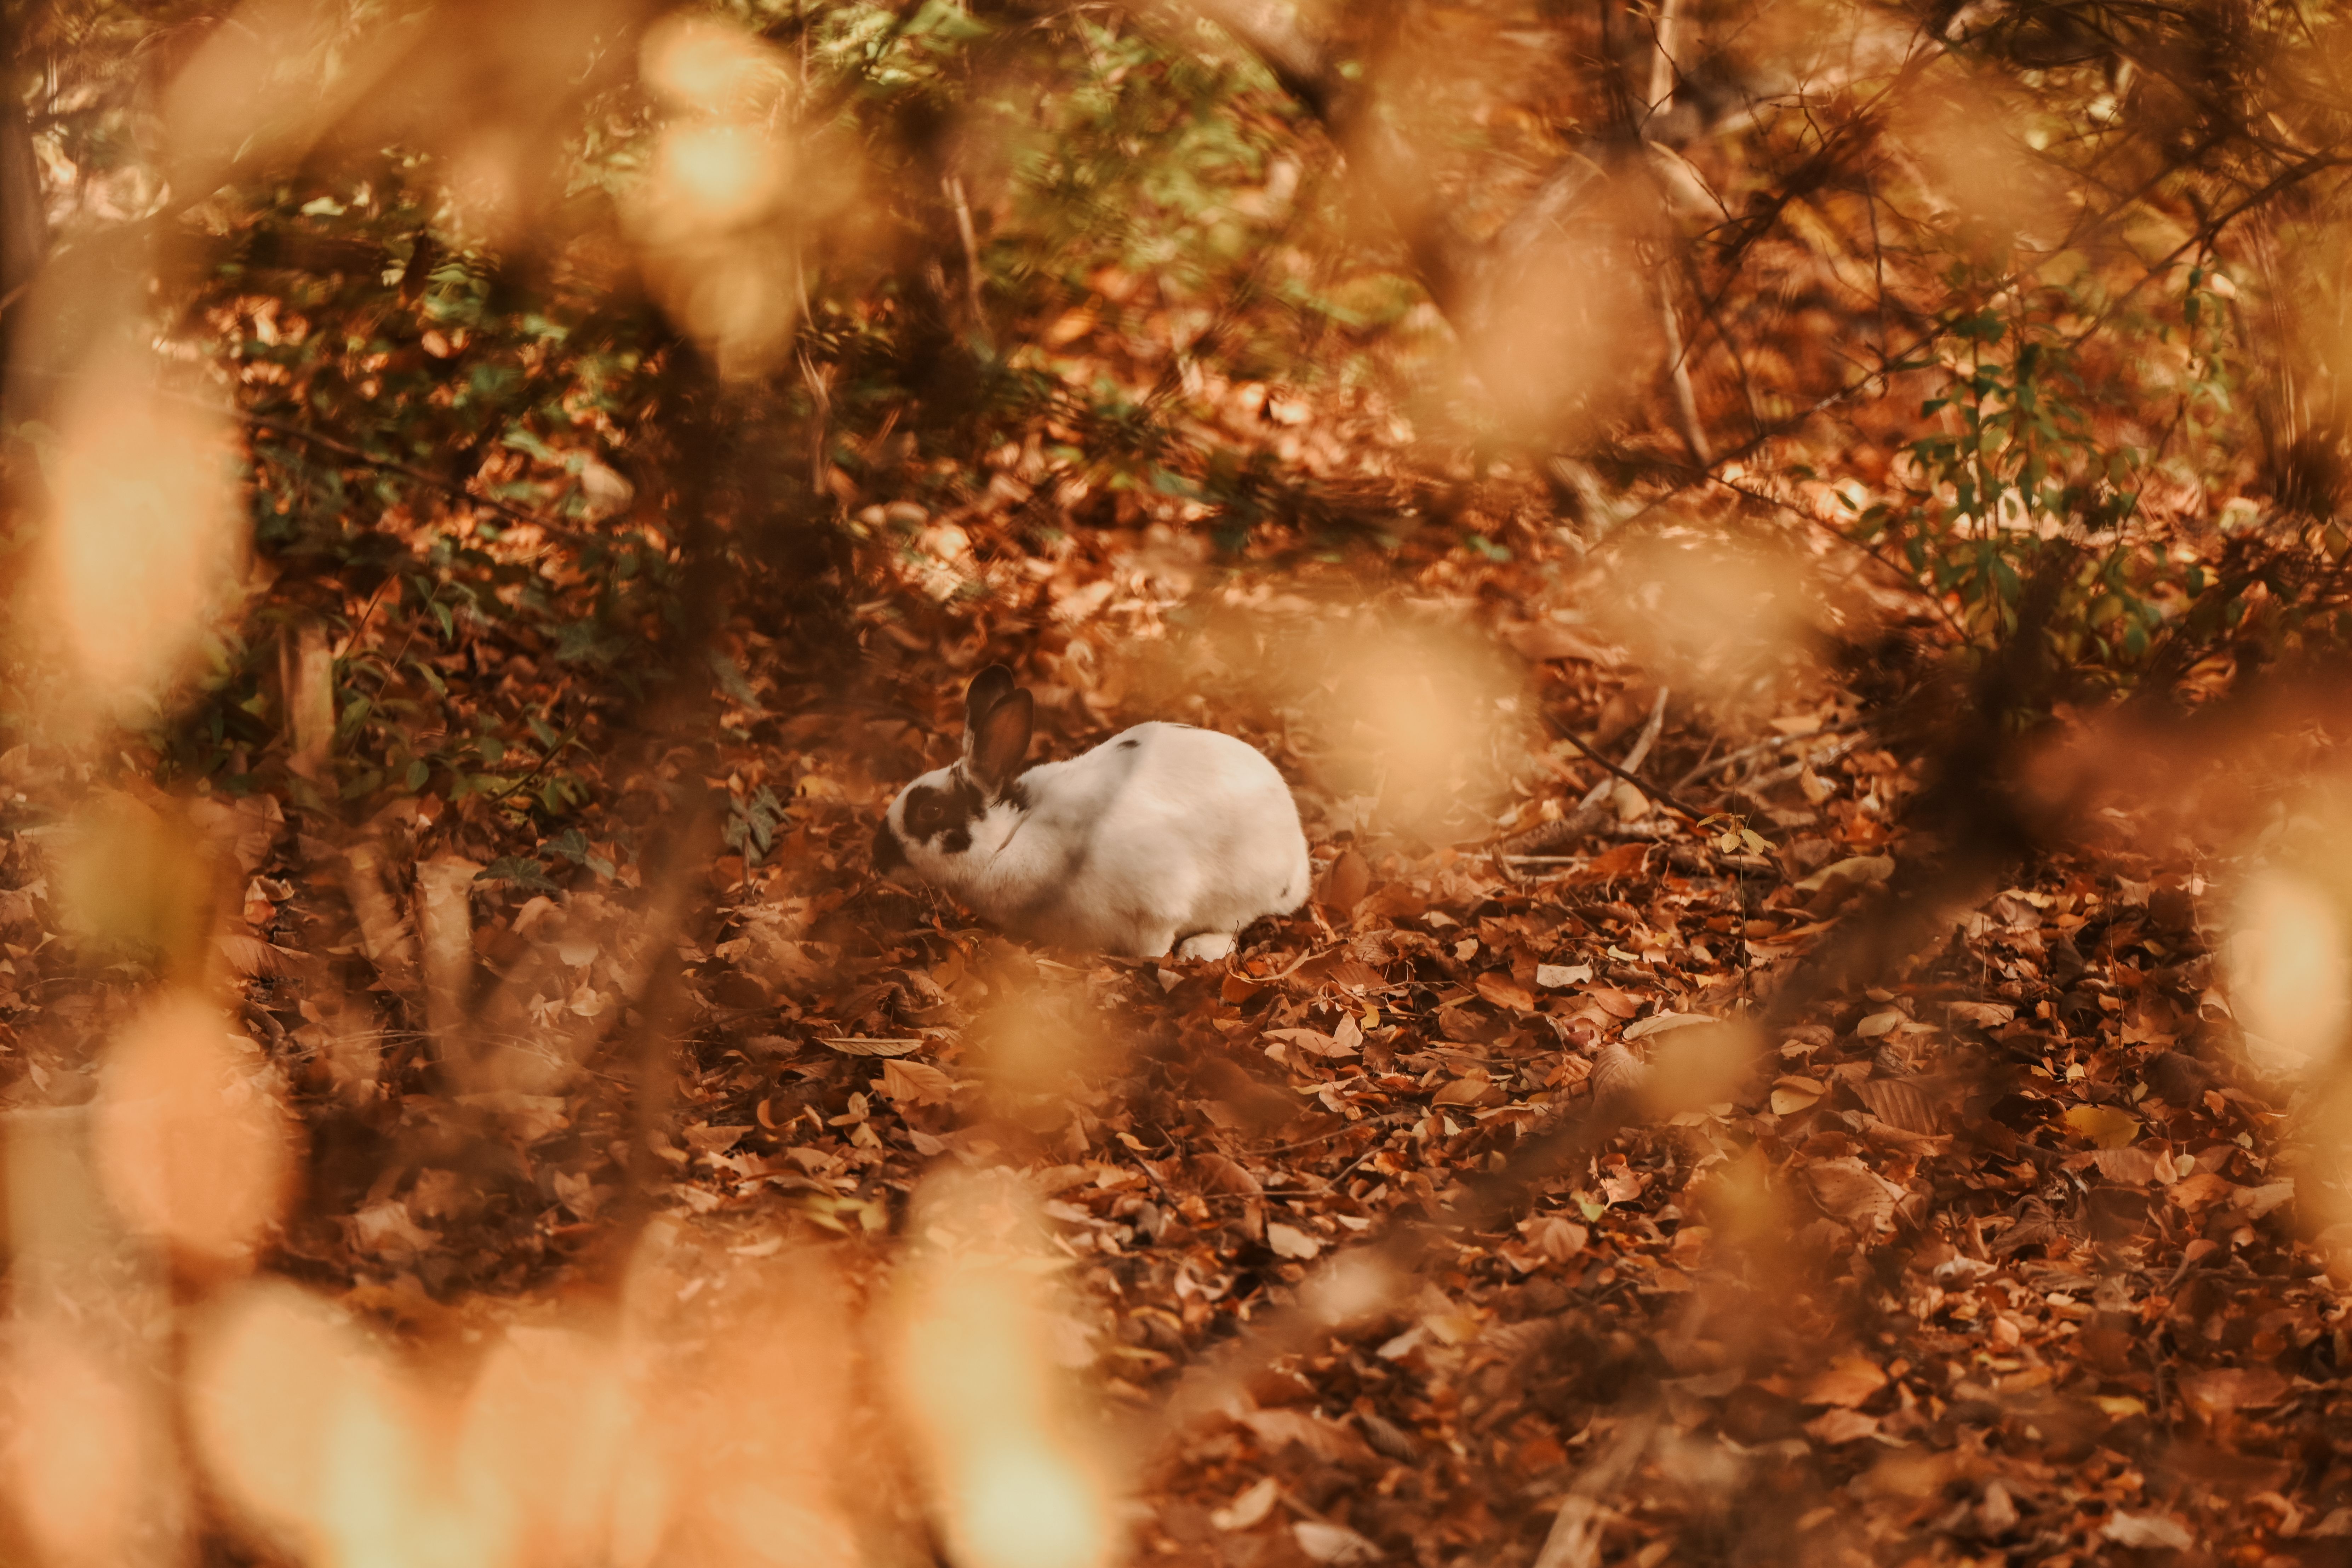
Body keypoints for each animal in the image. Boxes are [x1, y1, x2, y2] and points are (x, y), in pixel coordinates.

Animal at [872, 664, 1312, 960]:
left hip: (1240, 889)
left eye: (930, 810)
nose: (877, 859)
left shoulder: (1158, 901)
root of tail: (1299, 864)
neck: (1009, 840)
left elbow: (1155, 943)